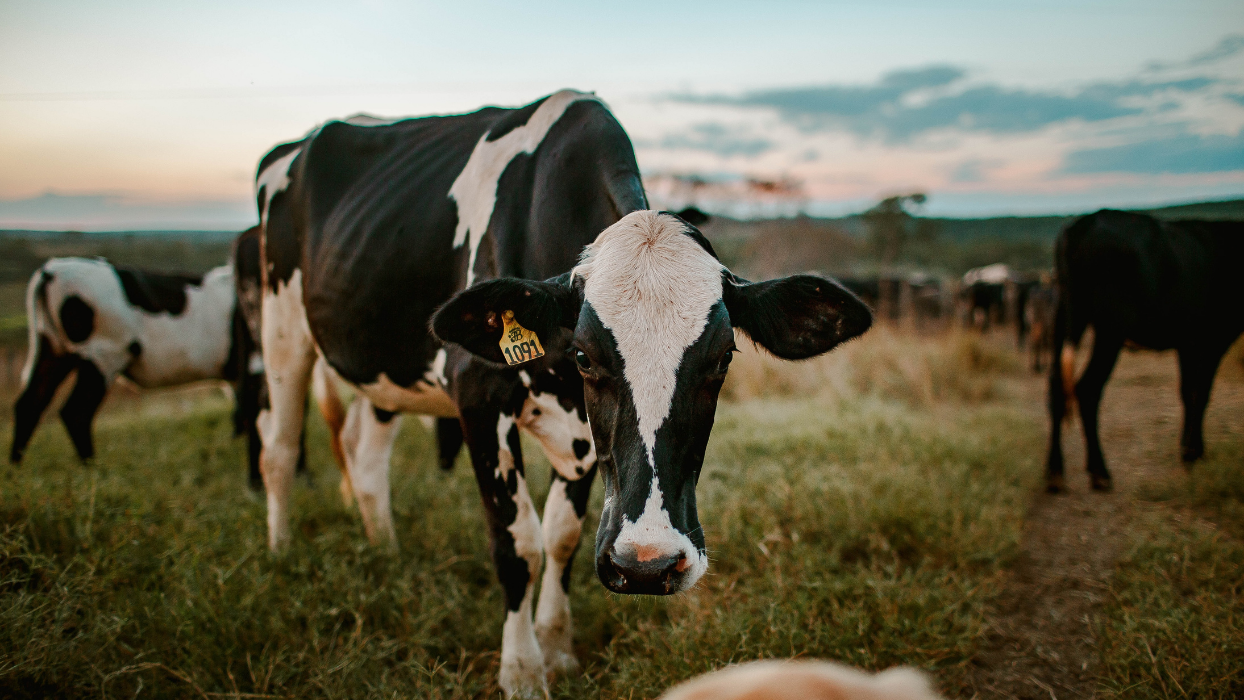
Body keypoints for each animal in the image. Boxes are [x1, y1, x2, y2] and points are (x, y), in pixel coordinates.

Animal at [10, 256, 244, 464]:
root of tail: (52, 269)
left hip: (54, 350)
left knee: (30, 403)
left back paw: (15, 467)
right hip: (103, 354)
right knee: (76, 411)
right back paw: (91, 467)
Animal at [255, 89, 871, 698]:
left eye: (723, 359)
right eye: (583, 357)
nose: (648, 565)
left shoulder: (584, 436)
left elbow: (561, 536)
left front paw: (556, 649)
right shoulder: (478, 397)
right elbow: (517, 544)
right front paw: (522, 670)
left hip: (380, 366)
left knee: (365, 459)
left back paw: (385, 551)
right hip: (281, 327)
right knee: (279, 449)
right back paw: (280, 555)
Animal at [1046, 209, 1244, 493]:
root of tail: (1086, 222)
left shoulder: (1188, 343)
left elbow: (1189, 392)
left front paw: (1189, 450)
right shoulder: (1209, 341)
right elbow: (1200, 394)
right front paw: (1193, 453)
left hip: (1065, 317)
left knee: (1056, 386)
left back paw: (1055, 472)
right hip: (1110, 329)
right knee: (1088, 388)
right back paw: (1100, 473)